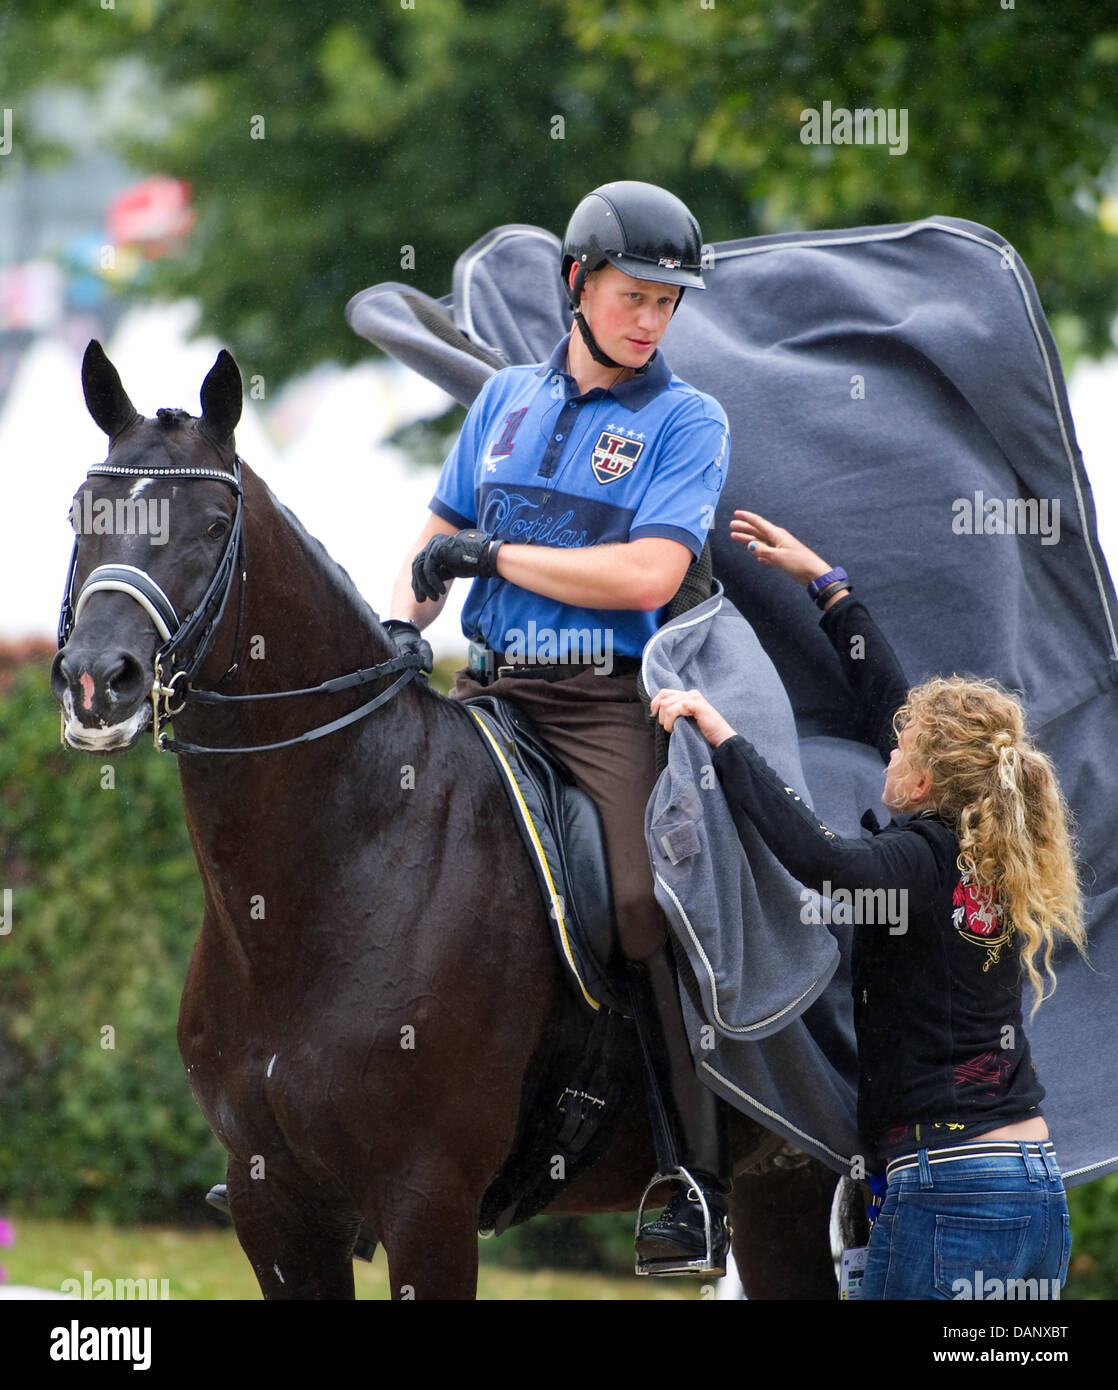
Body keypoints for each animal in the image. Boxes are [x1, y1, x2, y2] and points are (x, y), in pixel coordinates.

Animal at [51, 341, 859, 1300]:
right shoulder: (272, 1205)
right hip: (784, 1184)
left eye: (213, 525)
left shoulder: (426, 1202)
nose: (98, 681)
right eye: (81, 514)